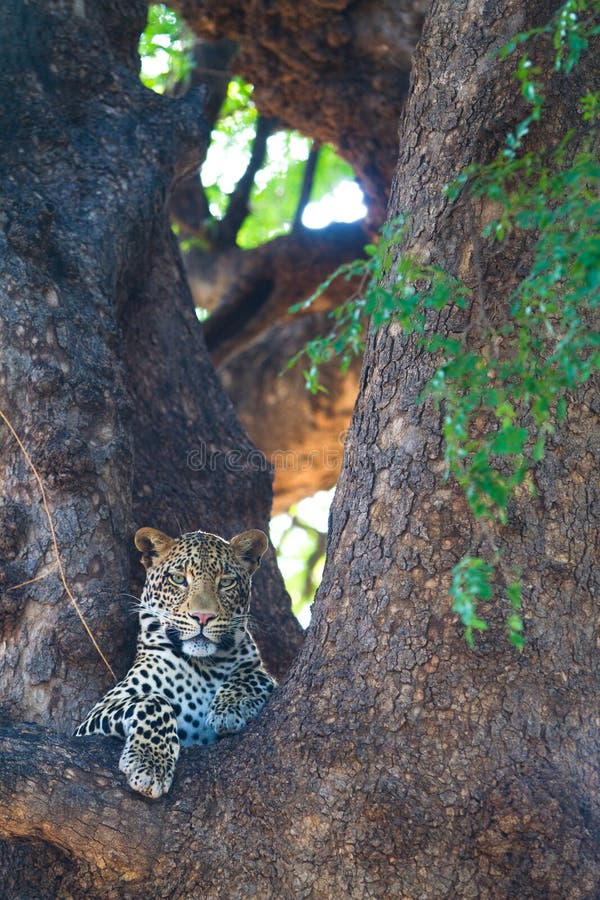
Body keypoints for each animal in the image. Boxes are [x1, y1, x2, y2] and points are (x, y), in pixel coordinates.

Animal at [76, 525, 276, 798]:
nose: (203, 617)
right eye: (179, 579)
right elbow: (153, 701)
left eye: (226, 582)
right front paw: (149, 764)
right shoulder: (89, 722)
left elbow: (255, 674)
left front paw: (229, 708)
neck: (206, 667)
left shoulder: (257, 670)